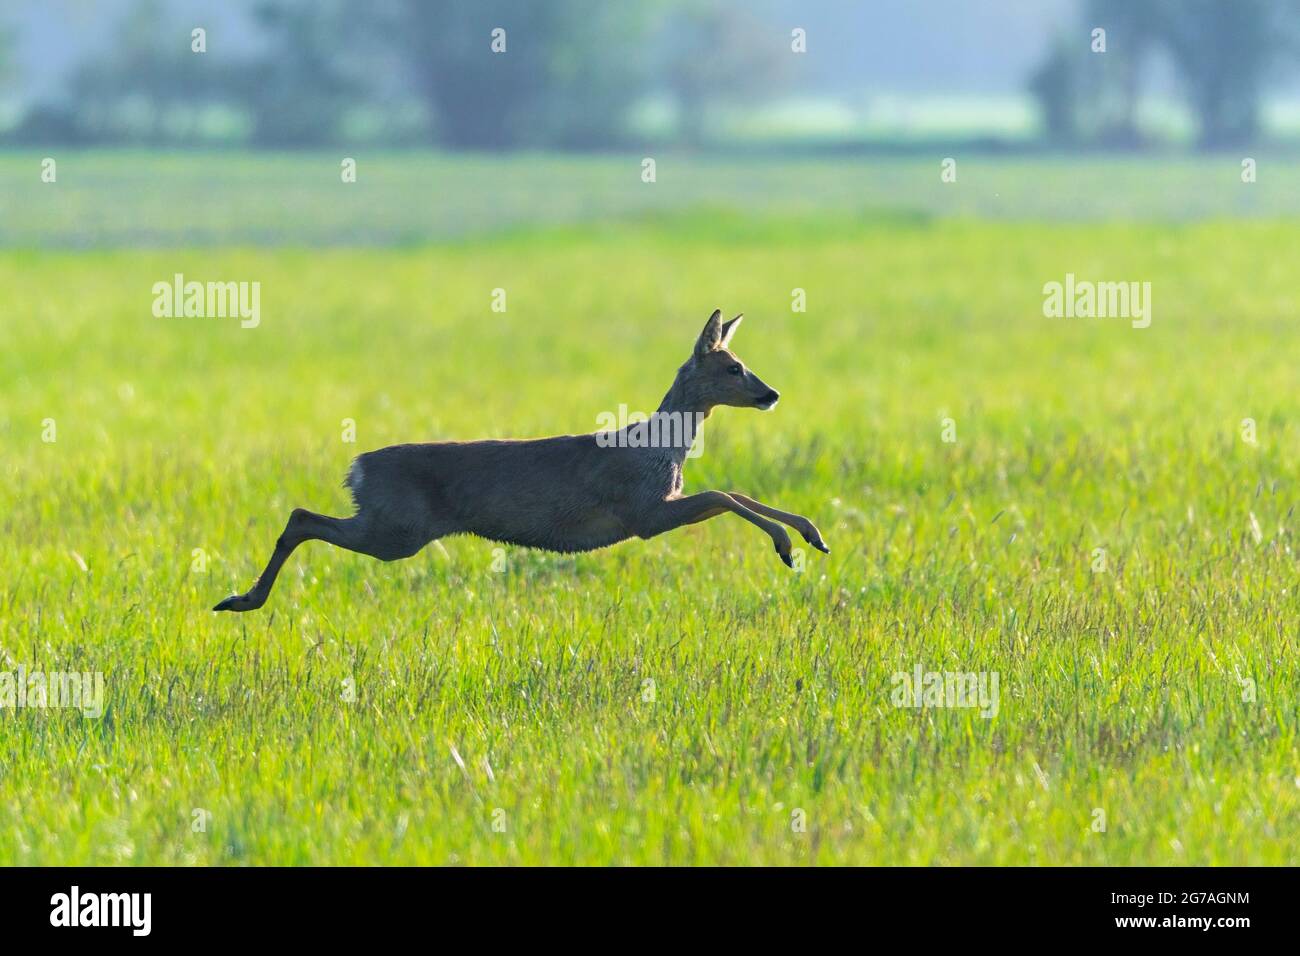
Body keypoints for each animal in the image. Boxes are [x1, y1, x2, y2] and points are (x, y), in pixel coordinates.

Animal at [213, 310, 830, 612]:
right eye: (732, 367)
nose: (770, 393)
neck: (660, 445)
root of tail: (358, 467)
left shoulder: (661, 502)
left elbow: (733, 493)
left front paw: (811, 535)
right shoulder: (643, 511)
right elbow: (724, 495)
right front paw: (785, 546)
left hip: (390, 527)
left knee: (302, 518)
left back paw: (239, 599)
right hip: (396, 530)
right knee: (301, 518)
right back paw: (240, 599)